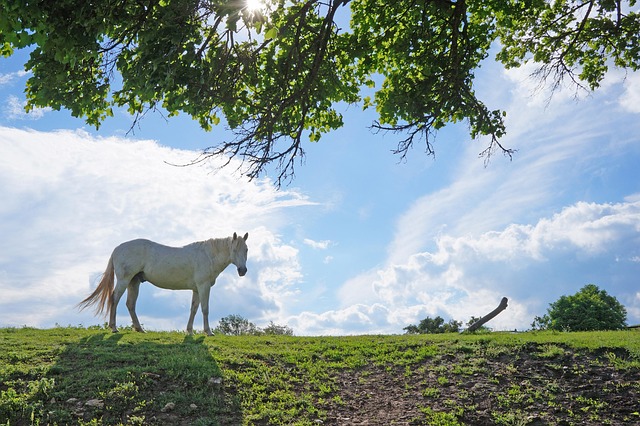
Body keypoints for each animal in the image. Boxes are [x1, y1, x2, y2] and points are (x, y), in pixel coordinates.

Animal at [78, 232, 249, 336]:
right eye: (234, 250)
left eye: (246, 249)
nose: (243, 270)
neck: (207, 255)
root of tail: (117, 249)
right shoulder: (203, 286)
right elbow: (205, 309)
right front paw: (208, 332)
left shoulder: (196, 289)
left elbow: (193, 309)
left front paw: (189, 330)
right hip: (124, 280)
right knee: (115, 299)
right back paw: (114, 327)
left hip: (134, 282)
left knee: (130, 304)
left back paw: (139, 329)